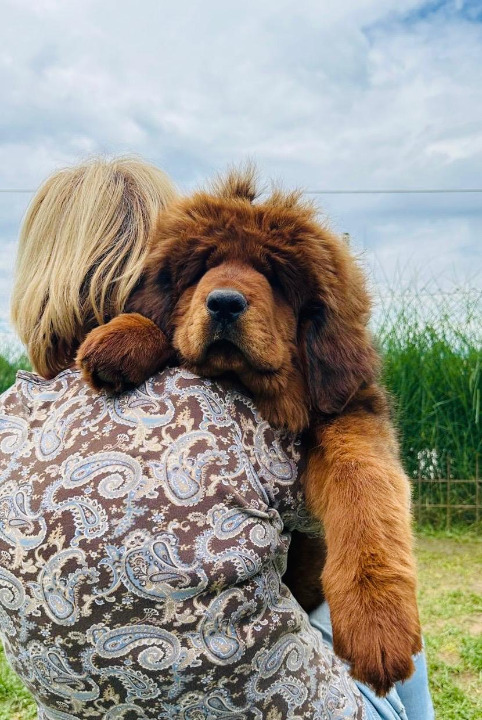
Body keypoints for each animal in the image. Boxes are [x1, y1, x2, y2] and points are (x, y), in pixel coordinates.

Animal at [77, 169, 420, 696]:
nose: (223, 302)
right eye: (202, 269)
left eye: (275, 277)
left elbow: (364, 486)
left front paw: (377, 620)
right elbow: (165, 326)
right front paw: (123, 336)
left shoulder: (351, 411)